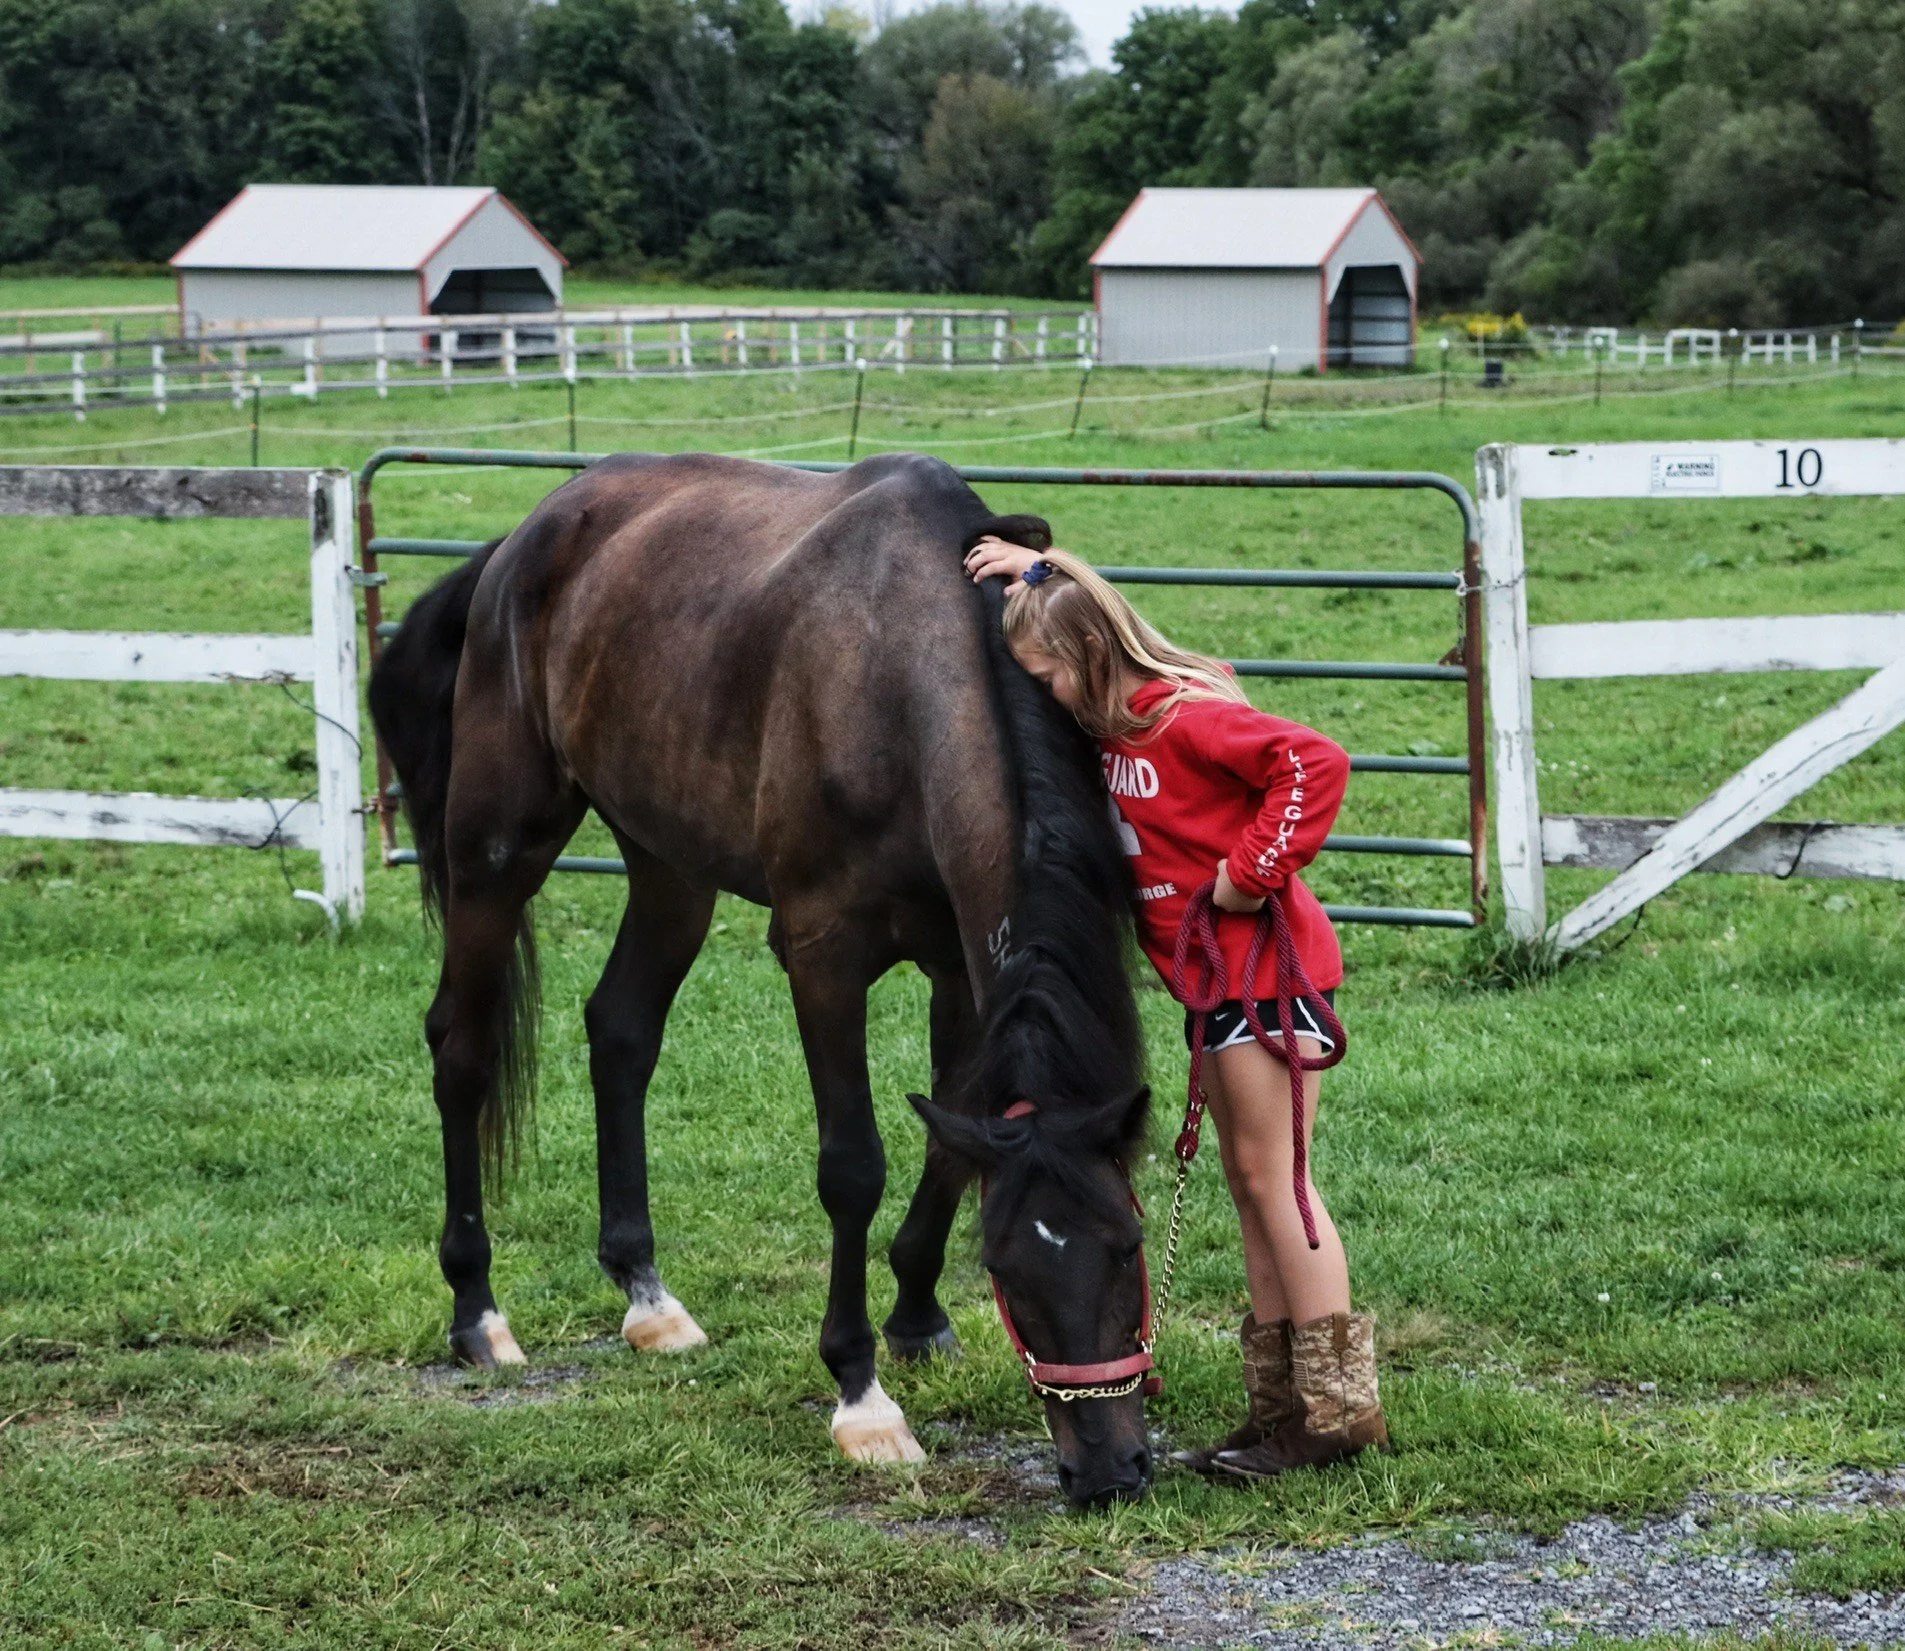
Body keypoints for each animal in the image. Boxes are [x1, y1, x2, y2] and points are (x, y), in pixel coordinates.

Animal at [367, 450, 1155, 1505]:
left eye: (1127, 1247)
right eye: (1007, 1266)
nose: (1110, 1469)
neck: (899, 675)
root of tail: (522, 538)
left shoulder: (955, 962)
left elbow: (950, 1142)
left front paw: (917, 1319)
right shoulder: (823, 956)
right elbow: (852, 1166)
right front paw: (862, 1394)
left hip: (670, 864)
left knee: (620, 1031)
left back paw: (648, 1296)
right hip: (498, 849)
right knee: (461, 1050)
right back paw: (477, 1311)